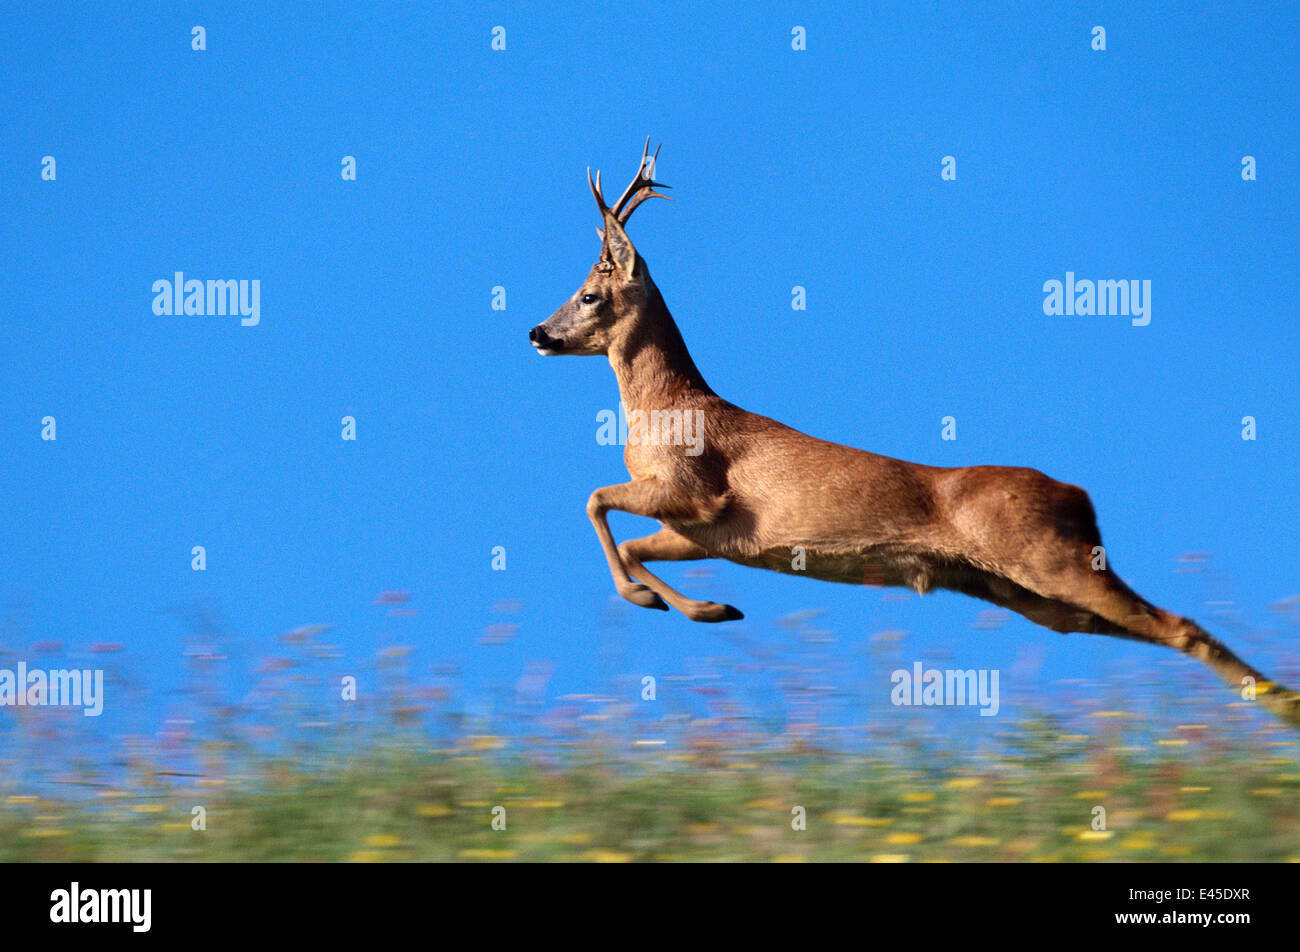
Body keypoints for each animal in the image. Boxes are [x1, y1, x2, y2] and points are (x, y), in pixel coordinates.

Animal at [529, 140, 1300, 728]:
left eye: (590, 294)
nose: (537, 332)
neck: (667, 408)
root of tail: (1079, 494)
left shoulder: (696, 493)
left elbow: (594, 498)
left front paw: (652, 600)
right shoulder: (711, 533)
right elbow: (634, 542)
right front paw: (709, 608)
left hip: (1048, 559)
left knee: (1179, 623)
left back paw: (1281, 712)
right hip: (1031, 594)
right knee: (1152, 628)